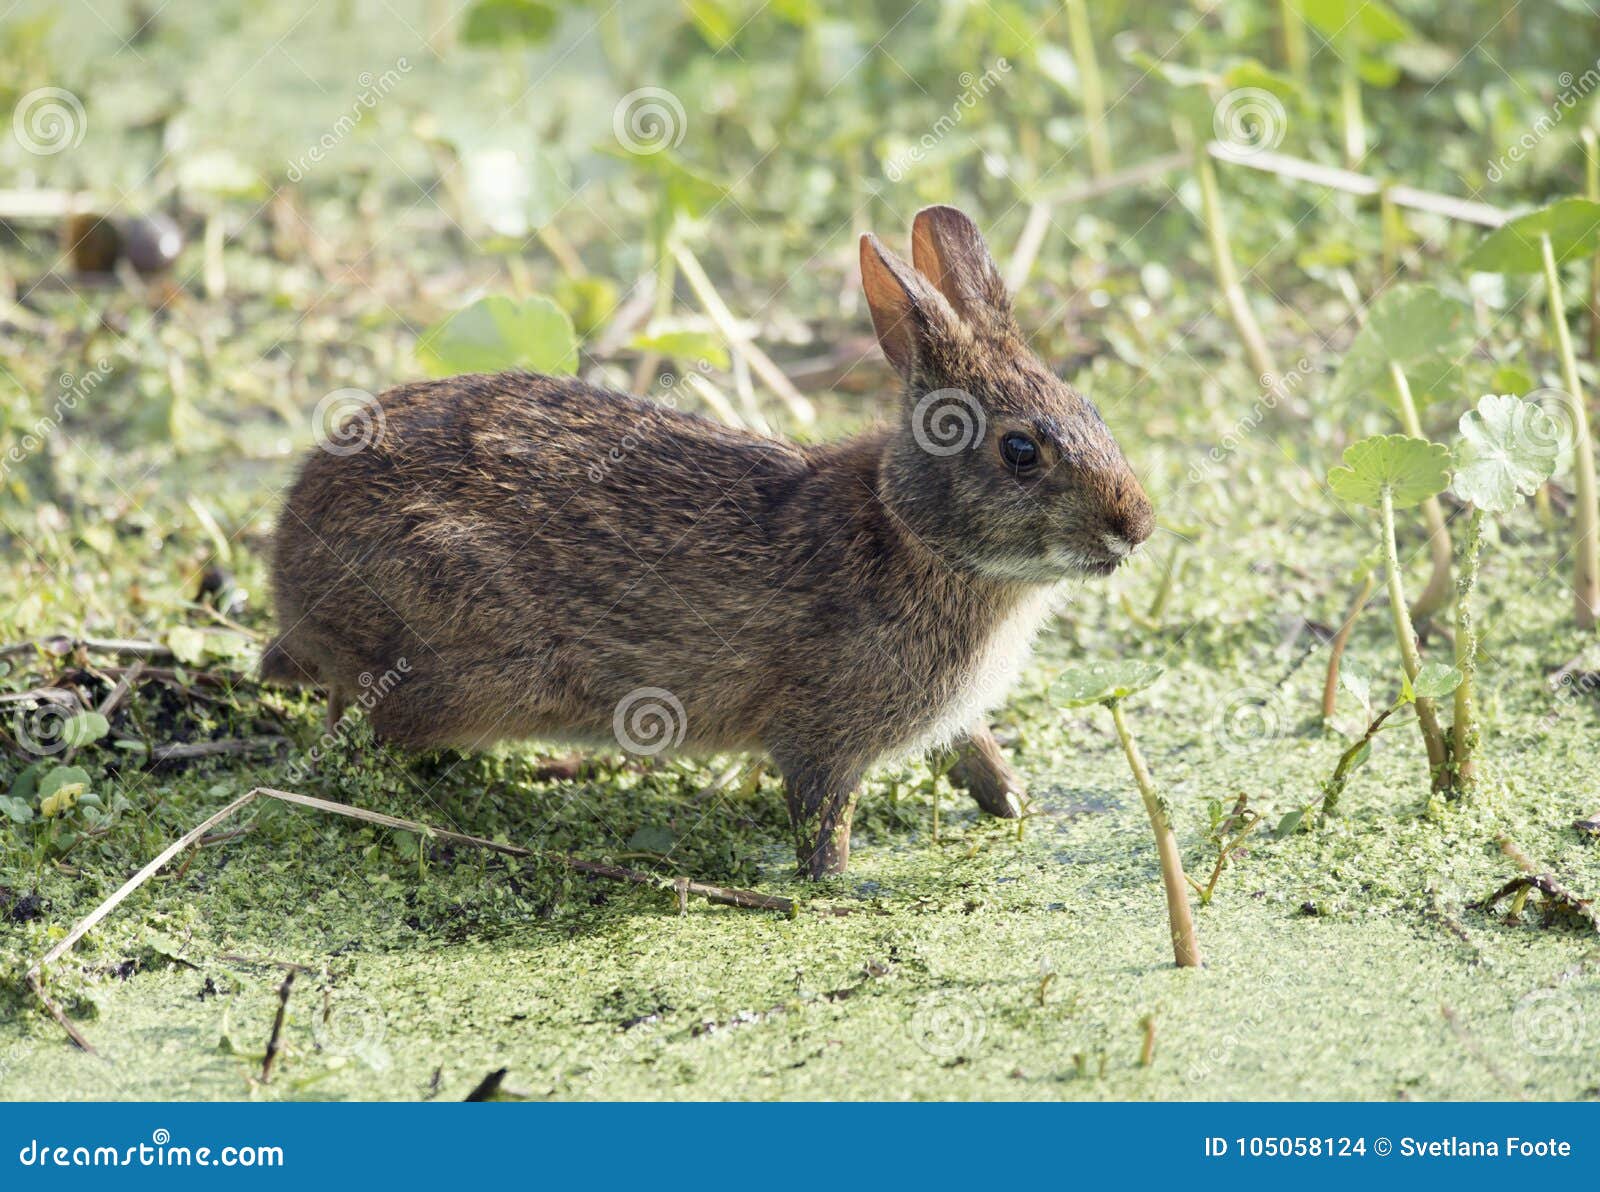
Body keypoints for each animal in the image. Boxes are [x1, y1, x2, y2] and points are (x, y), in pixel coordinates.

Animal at [261, 205, 1154, 878]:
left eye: (1091, 408)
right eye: (1020, 451)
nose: (1137, 525)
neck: (912, 533)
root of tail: (288, 569)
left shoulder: (954, 718)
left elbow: (981, 756)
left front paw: (1023, 805)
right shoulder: (824, 739)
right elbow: (821, 822)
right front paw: (838, 890)